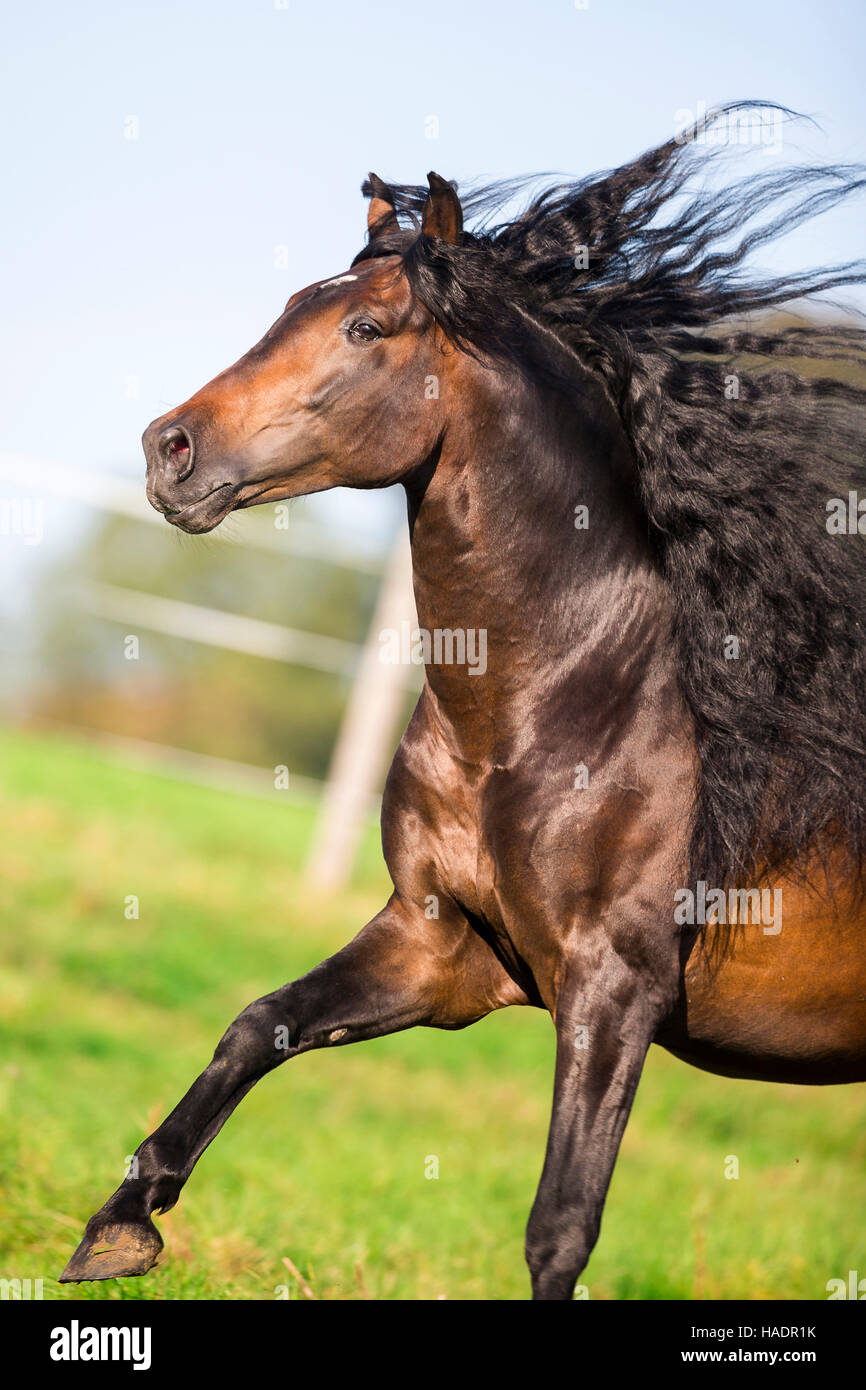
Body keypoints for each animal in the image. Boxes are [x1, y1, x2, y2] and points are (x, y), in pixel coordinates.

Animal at [61, 104, 866, 1299]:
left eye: (367, 329)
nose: (171, 451)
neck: (566, 711)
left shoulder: (612, 990)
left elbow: (560, 1223)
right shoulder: (441, 943)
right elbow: (258, 1026)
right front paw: (119, 1228)